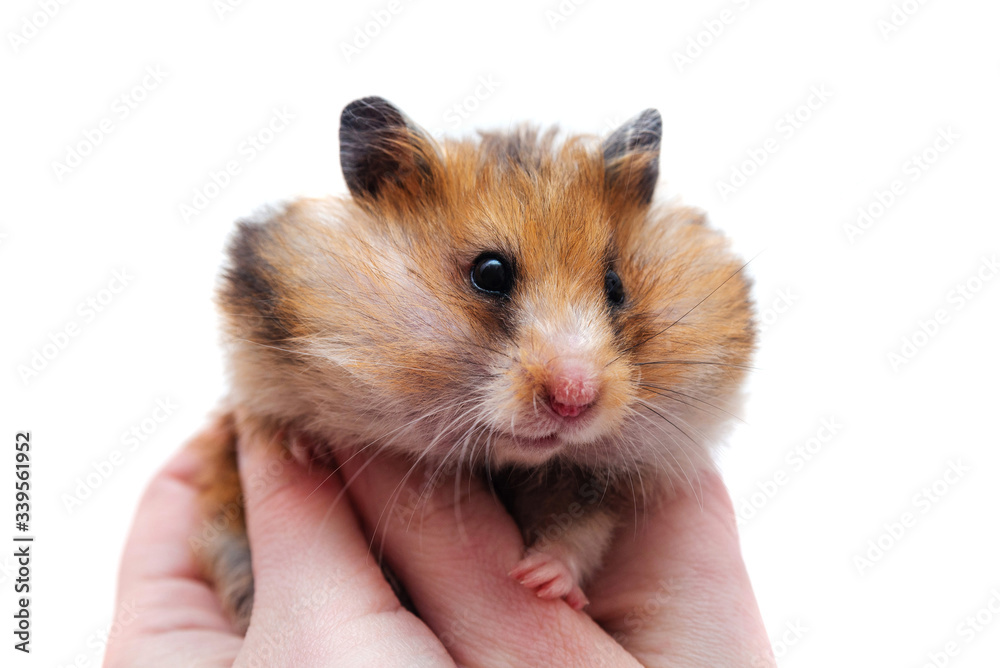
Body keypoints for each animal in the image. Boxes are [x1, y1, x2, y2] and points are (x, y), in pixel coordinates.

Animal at [195, 96, 756, 632]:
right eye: (489, 273)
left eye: (616, 286)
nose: (573, 399)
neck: (507, 465)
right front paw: (301, 448)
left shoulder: (595, 487)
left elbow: (582, 532)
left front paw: (540, 582)